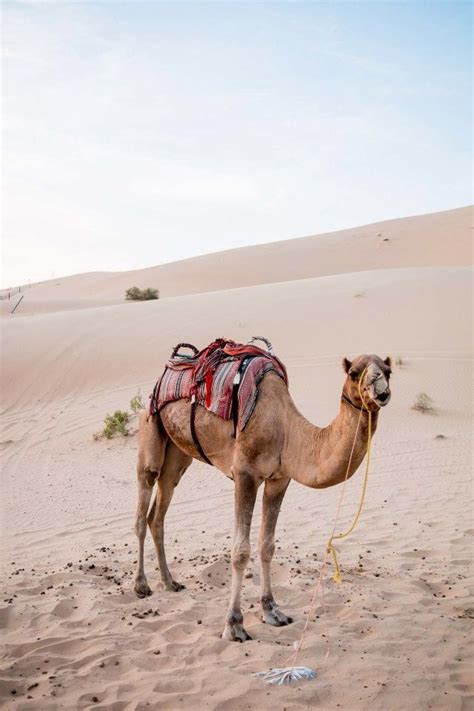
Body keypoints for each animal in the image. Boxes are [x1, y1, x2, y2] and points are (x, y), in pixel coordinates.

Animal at [133, 352, 391, 641]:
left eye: (388, 371)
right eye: (354, 373)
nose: (382, 392)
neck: (286, 431)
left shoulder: (279, 480)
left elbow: (267, 546)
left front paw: (272, 611)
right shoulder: (245, 475)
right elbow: (240, 551)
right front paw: (234, 625)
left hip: (178, 454)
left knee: (158, 511)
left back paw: (170, 582)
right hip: (150, 428)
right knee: (143, 506)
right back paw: (141, 585)